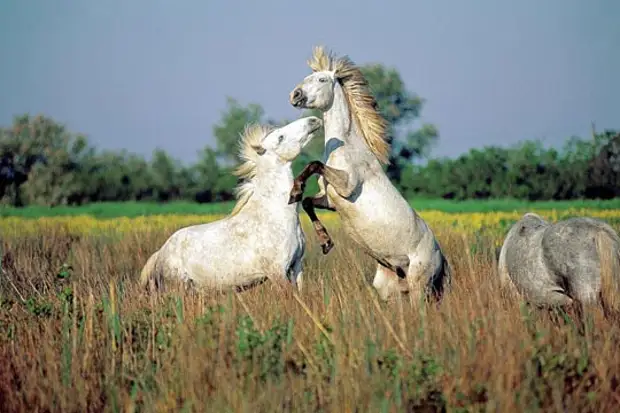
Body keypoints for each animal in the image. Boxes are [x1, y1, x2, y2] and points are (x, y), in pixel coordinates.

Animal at [139, 114, 324, 292]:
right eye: (280, 137)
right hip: (177, 288)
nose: (314, 120)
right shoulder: (277, 272)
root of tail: (160, 253)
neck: (275, 215)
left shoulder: (297, 266)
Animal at [286, 46, 450, 300]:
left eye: (322, 79)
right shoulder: (331, 200)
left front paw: (294, 191)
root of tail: (441, 258)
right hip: (390, 289)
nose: (295, 95)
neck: (347, 148)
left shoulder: (347, 186)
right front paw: (325, 243)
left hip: (419, 286)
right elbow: (307, 202)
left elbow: (314, 164)